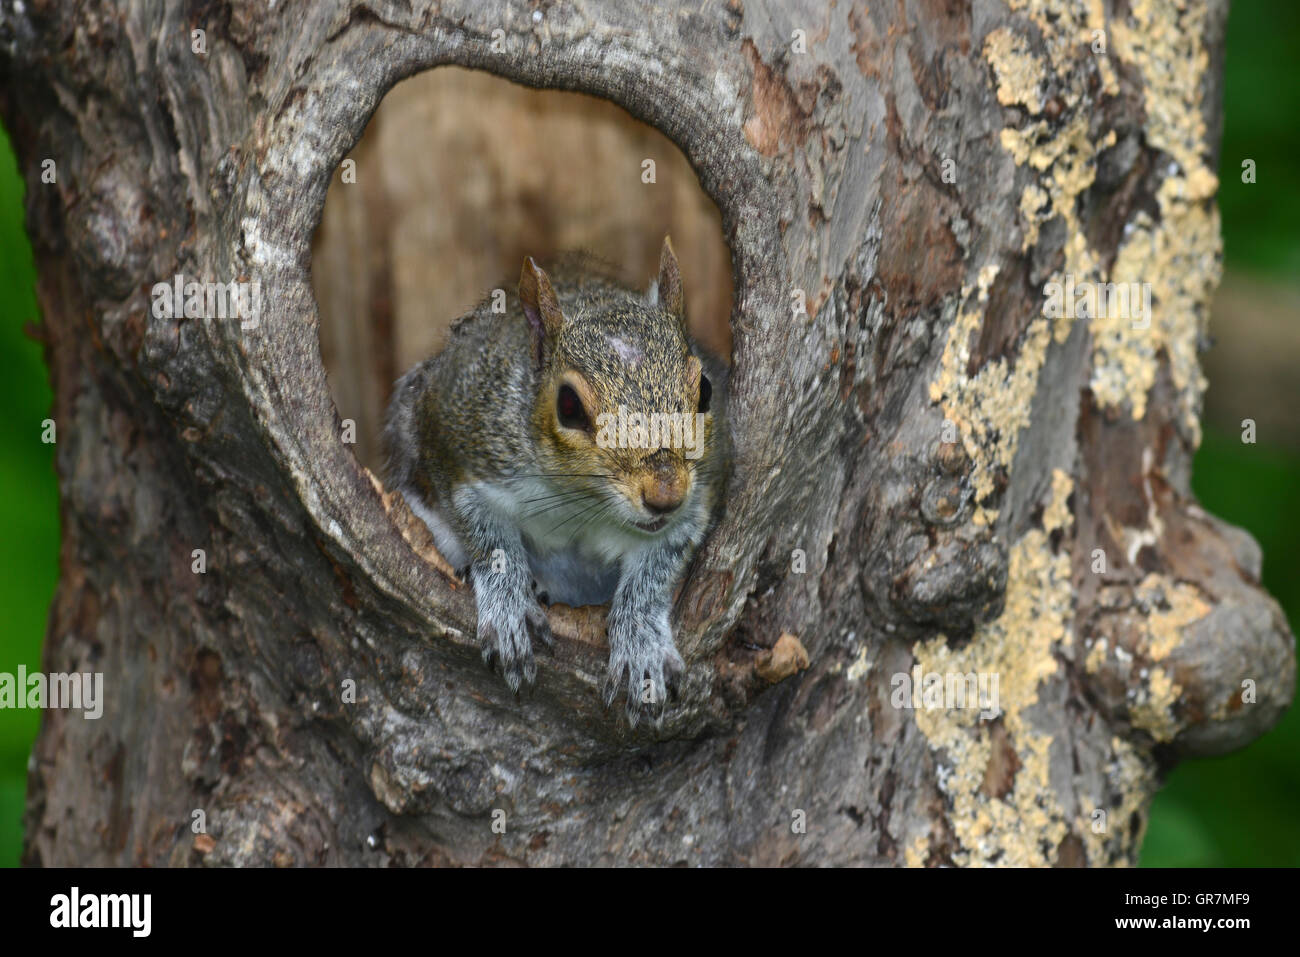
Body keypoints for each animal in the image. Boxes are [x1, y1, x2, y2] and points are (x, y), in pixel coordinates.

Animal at [383, 236, 728, 724]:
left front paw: (640, 643)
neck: (583, 498)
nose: (665, 494)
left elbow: (655, 572)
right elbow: (489, 539)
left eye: (705, 391)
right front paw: (509, 606)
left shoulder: (698, 499)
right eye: (568, 406)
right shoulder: (461, 450)